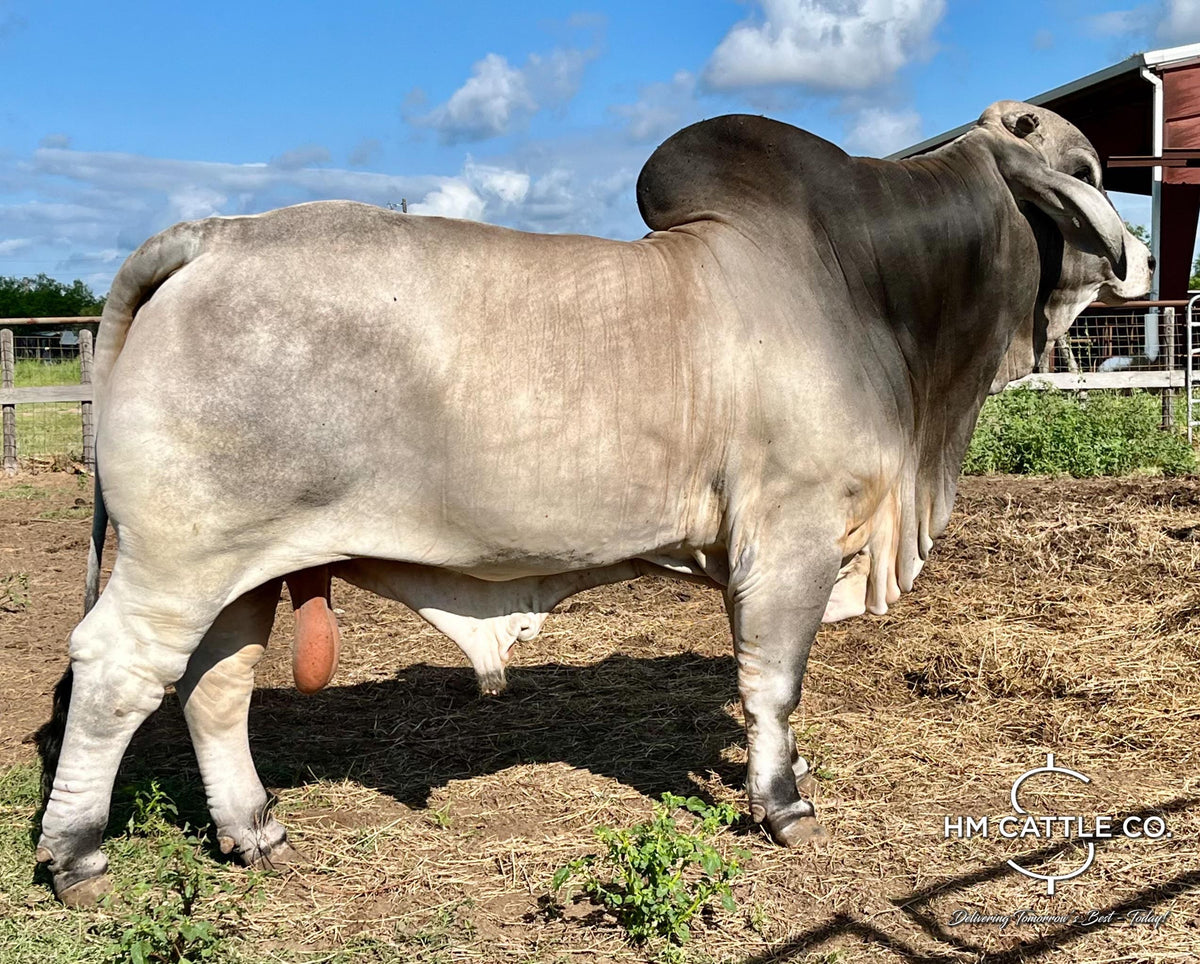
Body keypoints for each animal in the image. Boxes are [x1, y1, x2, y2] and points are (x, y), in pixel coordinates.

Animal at [36, 101, 1151, 905]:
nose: (1138, 255)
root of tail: (212, 237)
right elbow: (774, 684)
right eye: (1091, 170)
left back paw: (255, 830)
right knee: (116, 672)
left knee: (214, 687)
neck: (869, 288)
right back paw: (77, 855)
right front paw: (782, 805)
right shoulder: (789, 534)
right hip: (179, 557)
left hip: (244, 569)